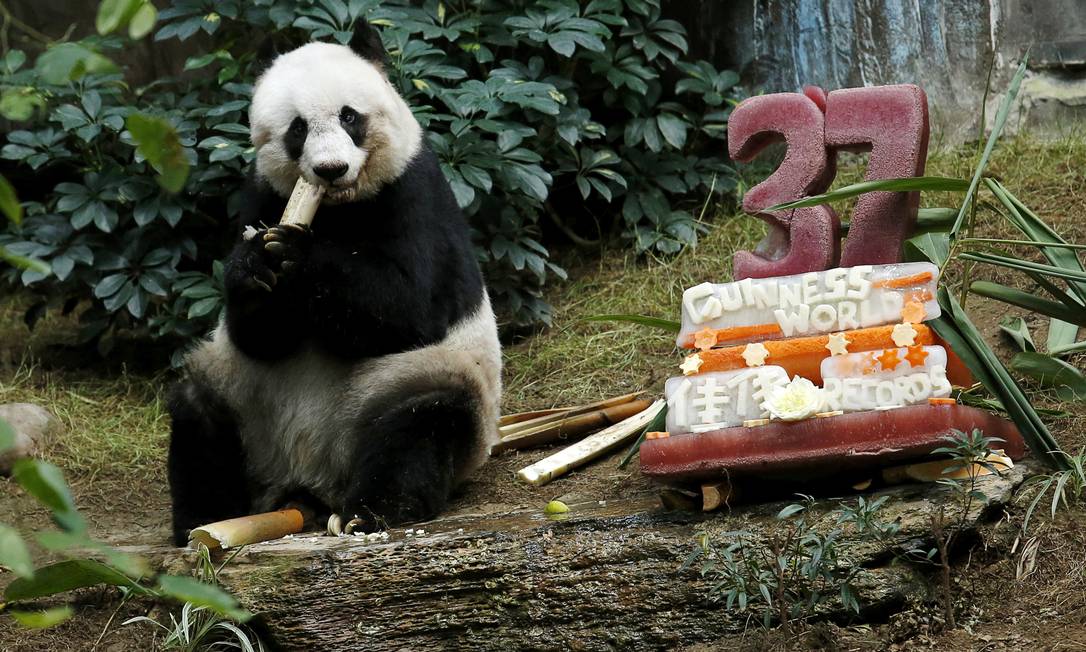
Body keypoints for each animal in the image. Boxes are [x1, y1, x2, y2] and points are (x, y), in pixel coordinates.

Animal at [166, 21, 502, 546]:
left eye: (349, 117)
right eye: (298, 128)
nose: (330, 169)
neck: (337, 207)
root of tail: (308, 482)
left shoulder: (415, 191)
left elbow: (410, 308)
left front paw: (298, 256)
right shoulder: (262, 191)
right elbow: (257, 336)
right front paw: (255, 265)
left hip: (401, 385)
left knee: (423, 420)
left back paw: (372, 512)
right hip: (244, 399)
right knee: (198, 412)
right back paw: (204, 518)